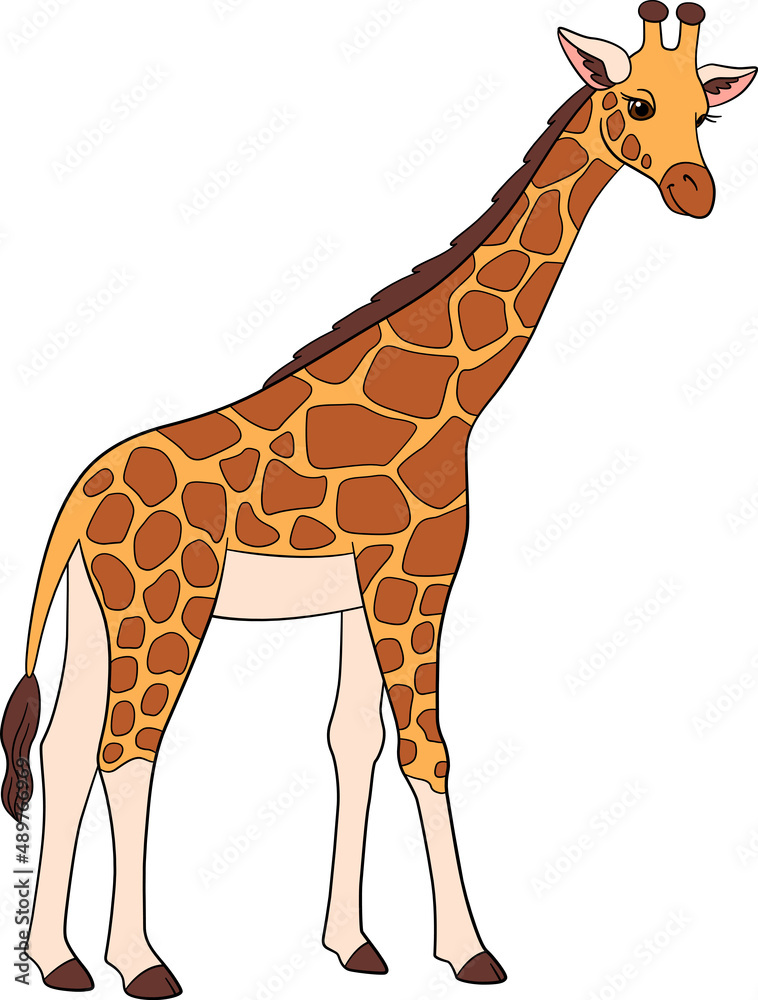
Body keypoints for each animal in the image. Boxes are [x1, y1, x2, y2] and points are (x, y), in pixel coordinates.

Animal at [1, 3, 754, 995]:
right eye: (635, 102)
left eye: (707, 116)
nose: (694, 193)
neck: (451, 399)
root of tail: (78, 496)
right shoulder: (417, 575)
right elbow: (426, 749)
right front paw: (471, 949)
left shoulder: (365, 588)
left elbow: (352, 741)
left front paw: (355, 944)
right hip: (167, 604)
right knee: (127, 749)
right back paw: (142, 961)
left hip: (98, 608)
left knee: (63, 747)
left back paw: (58, 961)